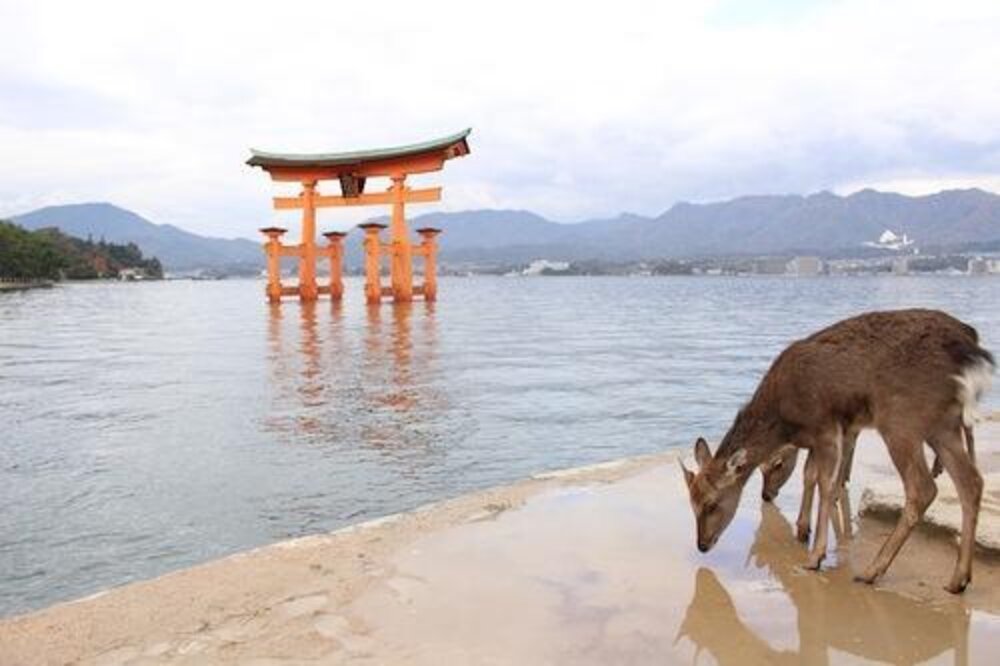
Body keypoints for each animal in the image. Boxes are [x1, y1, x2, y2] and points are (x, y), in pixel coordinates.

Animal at [681, 309, 993, 593]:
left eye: (711, 504)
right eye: (691, 503)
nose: (702, 544)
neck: (785, 418)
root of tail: (972, 346)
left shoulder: (826, 427)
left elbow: (826, 483)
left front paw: (814, 556)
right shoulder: (828, 434)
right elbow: (812, 476)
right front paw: (803, 530)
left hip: (901, 419)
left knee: (923, 487)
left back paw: (871, 571)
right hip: (942, 423)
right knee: (971, 481)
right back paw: (958, 579)